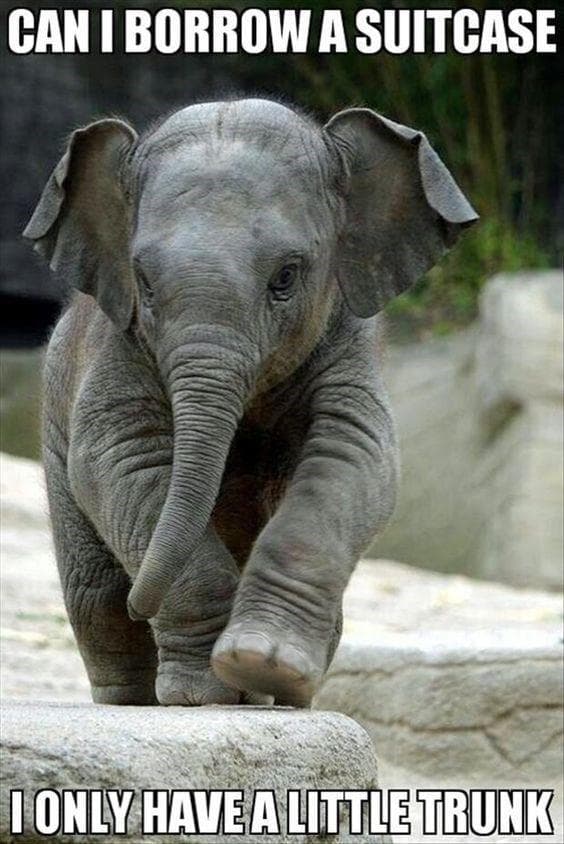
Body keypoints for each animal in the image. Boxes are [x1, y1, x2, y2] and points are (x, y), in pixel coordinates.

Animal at [24, 98, 477, 707]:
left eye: (286, 277)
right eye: (144, 282)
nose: (141, 602)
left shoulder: (347, 341)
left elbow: (353, 456)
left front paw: (264, 665)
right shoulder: (117, 344)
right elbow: (123, 458)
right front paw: (203, 696)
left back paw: (273, 698)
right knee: (96, 596)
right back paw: (140, 699)